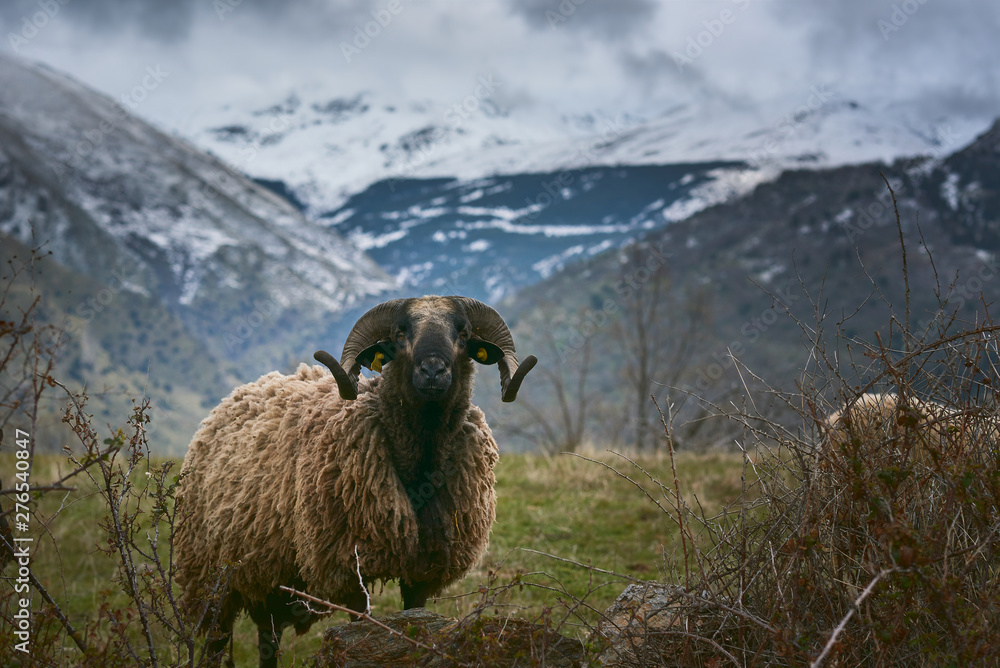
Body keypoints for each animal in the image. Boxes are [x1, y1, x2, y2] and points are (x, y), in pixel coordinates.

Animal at [174, 295, 537, 667]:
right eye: (399, 333)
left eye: (463, 334)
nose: (433, 371)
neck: (417, 466)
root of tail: (237, 394)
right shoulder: (350, 566)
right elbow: (361, 627)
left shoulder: (424, 570)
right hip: (212, 578)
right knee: (216, 640)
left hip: (269, 573)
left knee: (268, 640)